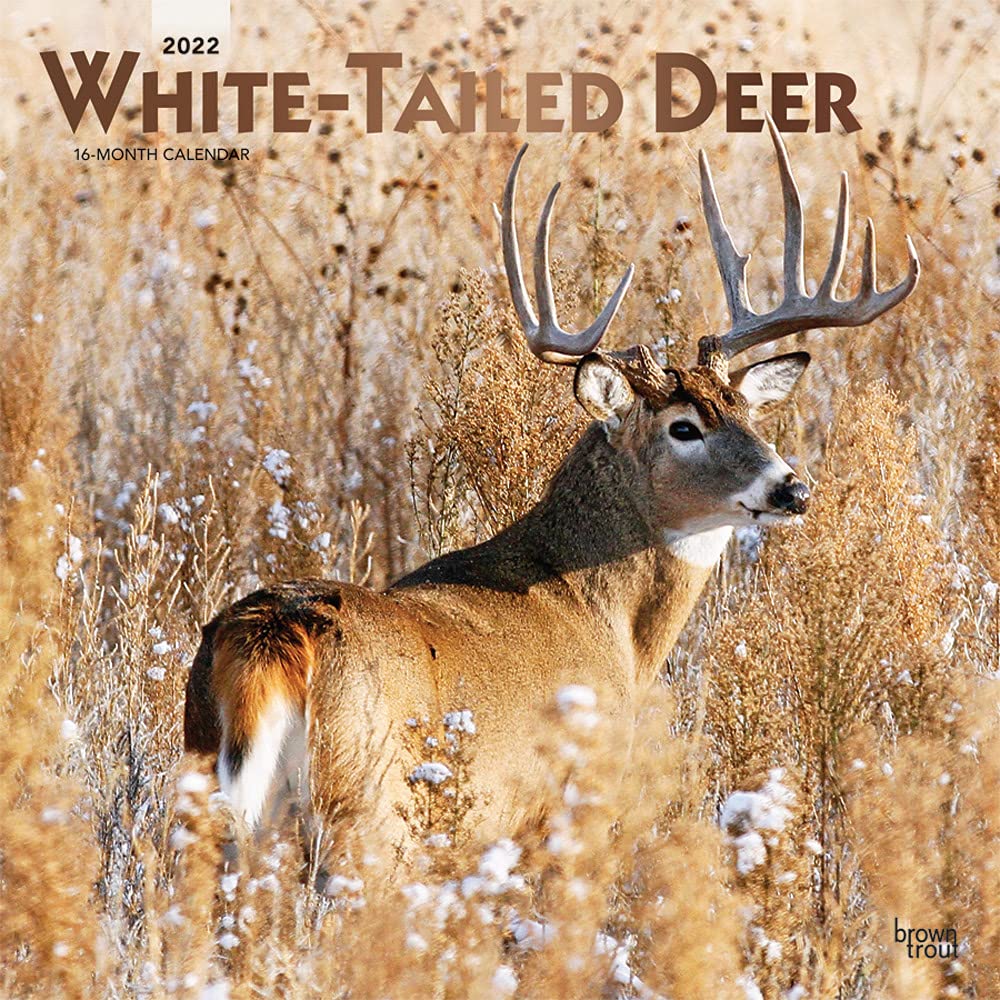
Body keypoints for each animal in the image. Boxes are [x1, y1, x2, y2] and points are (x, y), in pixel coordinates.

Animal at [183, 116, 918, 860]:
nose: (791, 489)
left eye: (746, 412)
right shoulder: (572, 805)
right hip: (367, 815)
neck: (604, 616)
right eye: (684, 427)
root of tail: (274, 632)